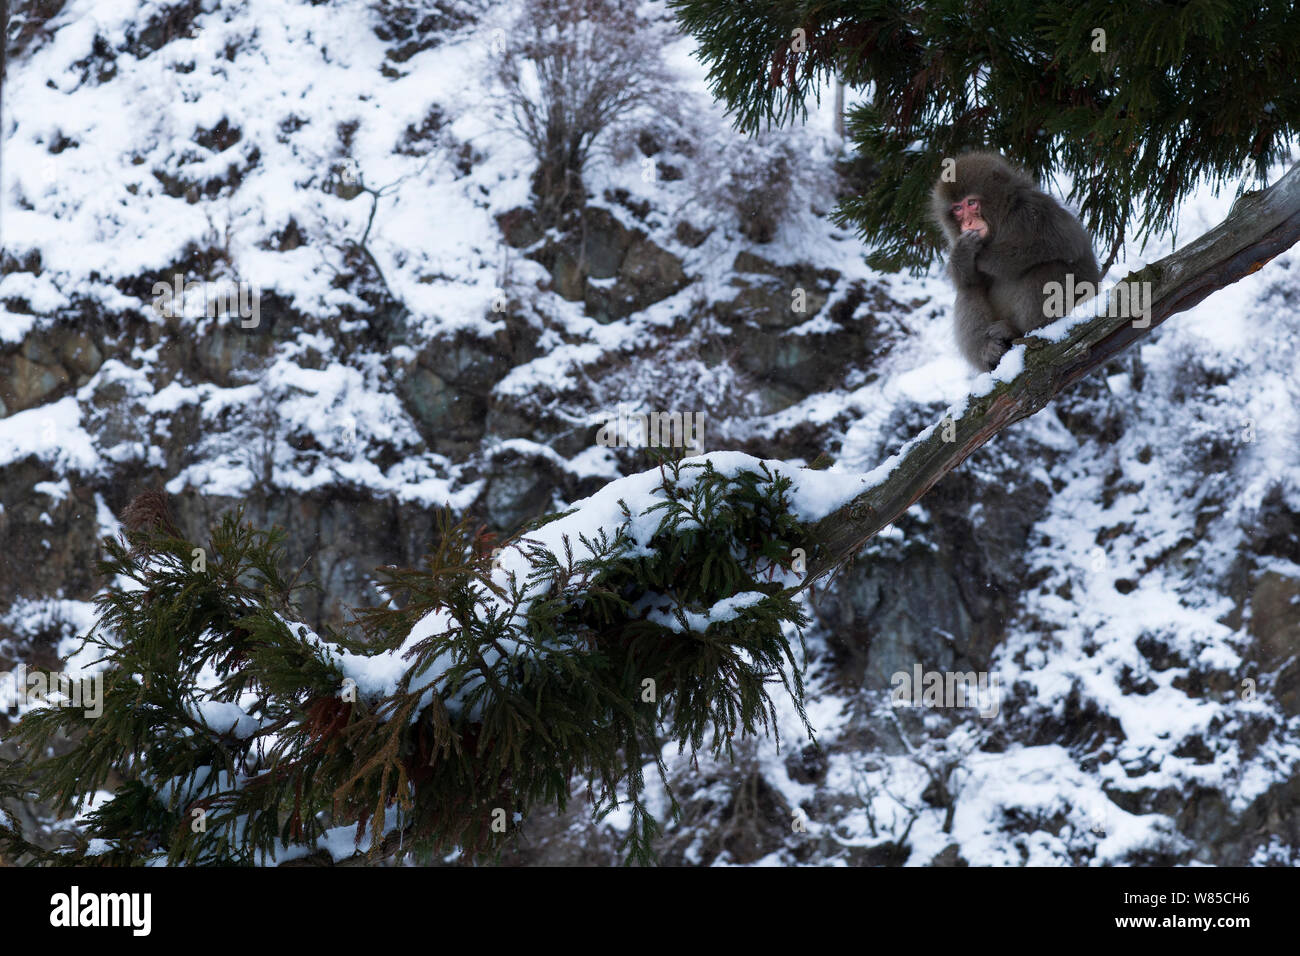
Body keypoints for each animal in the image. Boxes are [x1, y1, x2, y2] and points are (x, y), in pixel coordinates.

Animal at [931, 152, 1101, 372]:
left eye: (971, 203)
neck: (1000, 221)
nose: (967, 223)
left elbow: (1067, 243)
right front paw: (962, 253)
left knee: (1048, 267)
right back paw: (989, 352)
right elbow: (966, 279)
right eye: (958, 208)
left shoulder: (1035, 210)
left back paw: (1022, 331)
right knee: (969, 289)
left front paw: (983, 258)